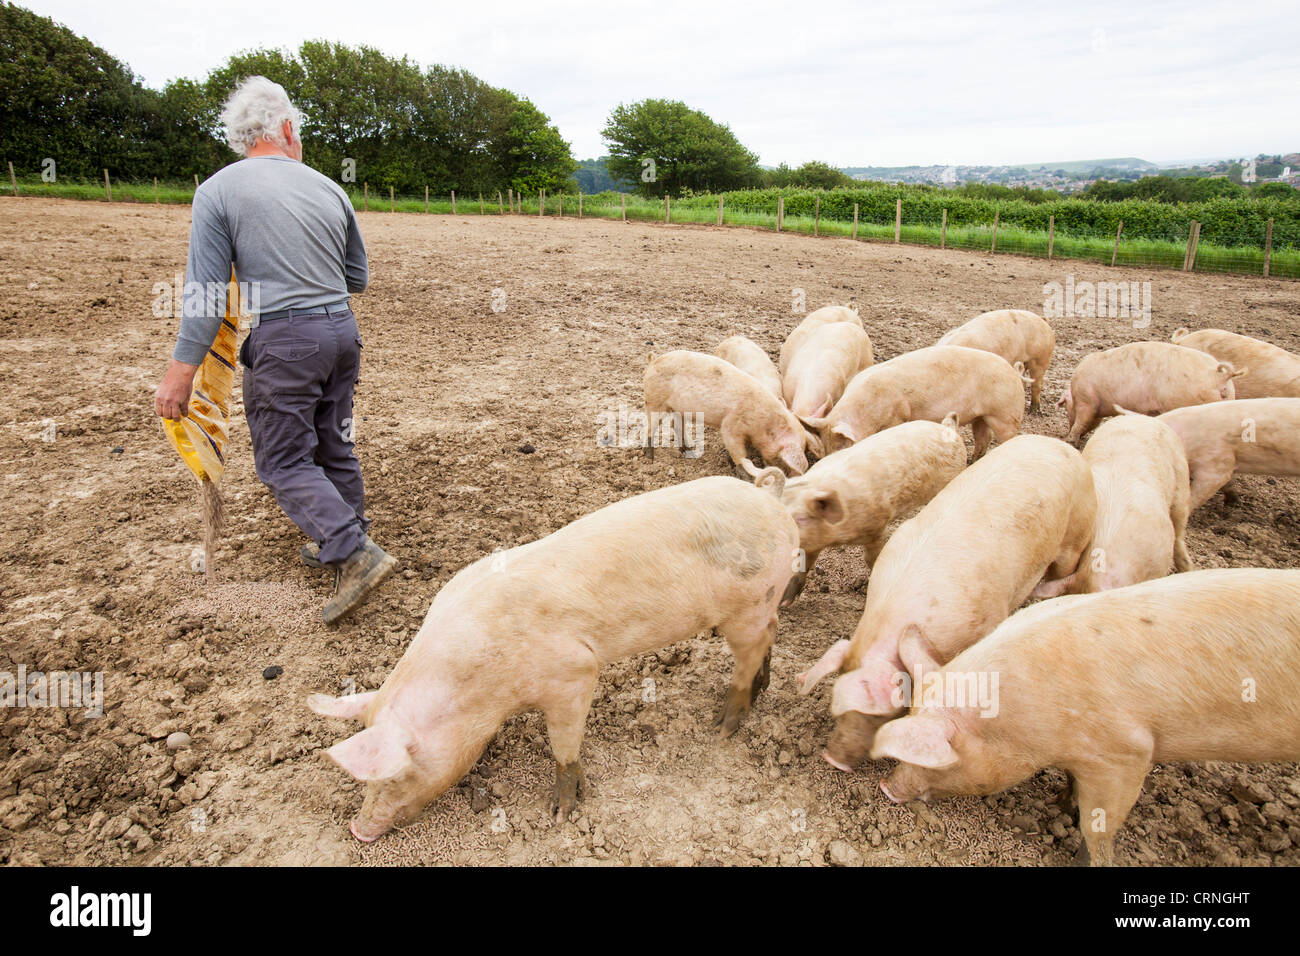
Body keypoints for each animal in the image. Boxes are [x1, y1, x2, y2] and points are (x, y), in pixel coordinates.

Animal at [308, 475, 801, 841]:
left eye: (393, 774)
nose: (357, 829)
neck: (478, 692)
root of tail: (771, 498)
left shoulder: (575, 672)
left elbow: (564, 745)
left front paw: (560, 814)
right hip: (761, 603)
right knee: (770, 634)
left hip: (747, 604)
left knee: (749, 653)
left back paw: (723, 725)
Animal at [643, 350, 822, 475]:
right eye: (781, 459)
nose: (792, 476)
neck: (764, 423)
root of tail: (653, 360)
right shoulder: (731, 424)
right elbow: (738, 453)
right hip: (654, 400)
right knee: (650, 426)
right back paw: (649, 458)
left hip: (678, 408)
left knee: (675, 424)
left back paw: (689, 450)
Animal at [757, 415, 967, 605]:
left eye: (799, 519)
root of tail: (949, 428)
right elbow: (803, 564)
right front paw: (784, 602)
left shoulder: (877, 528)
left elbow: (872, 558)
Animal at [799, 345, 1025, 458]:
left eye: (842, 447)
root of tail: (1014, 372)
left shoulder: (898, 416)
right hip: (982, 417)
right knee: (983, 439)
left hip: (1006, 415)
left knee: (1006, 437)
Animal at [1058, 341, 1243, 443]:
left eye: (1067, 407)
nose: (1066, 431)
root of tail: (1221, 376)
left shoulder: (1087, 401)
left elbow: (1081, 421)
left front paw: (1069, 440)